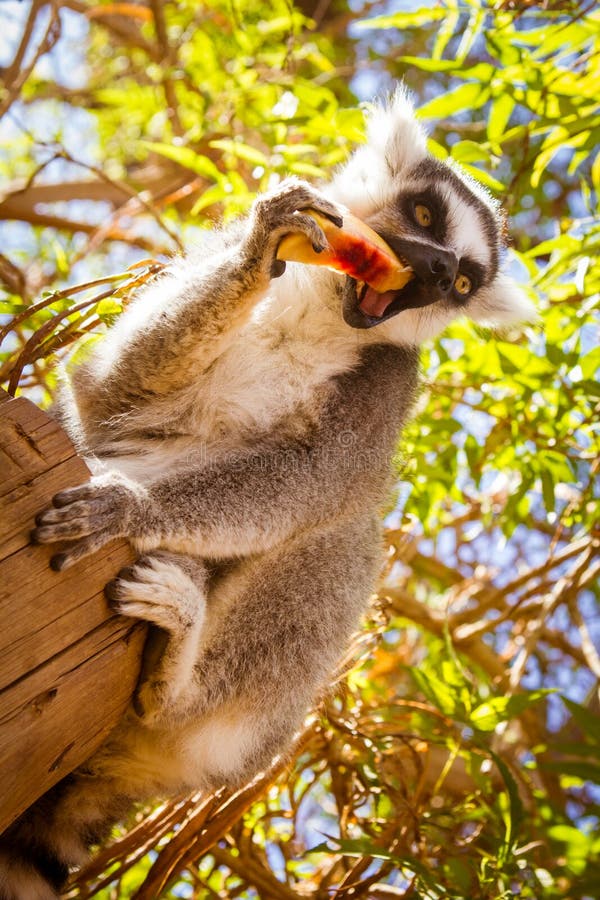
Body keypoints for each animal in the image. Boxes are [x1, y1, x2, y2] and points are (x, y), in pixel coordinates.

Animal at [0, 90, 534, 899]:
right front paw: (263, 247)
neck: (319, 309)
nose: (442, 272)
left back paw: (177, 672)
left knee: (341, 535)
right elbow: (102, 397)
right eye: (426, 216)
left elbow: (312, 486)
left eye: (464, 287)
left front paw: (131, 510)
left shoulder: (386, 386)